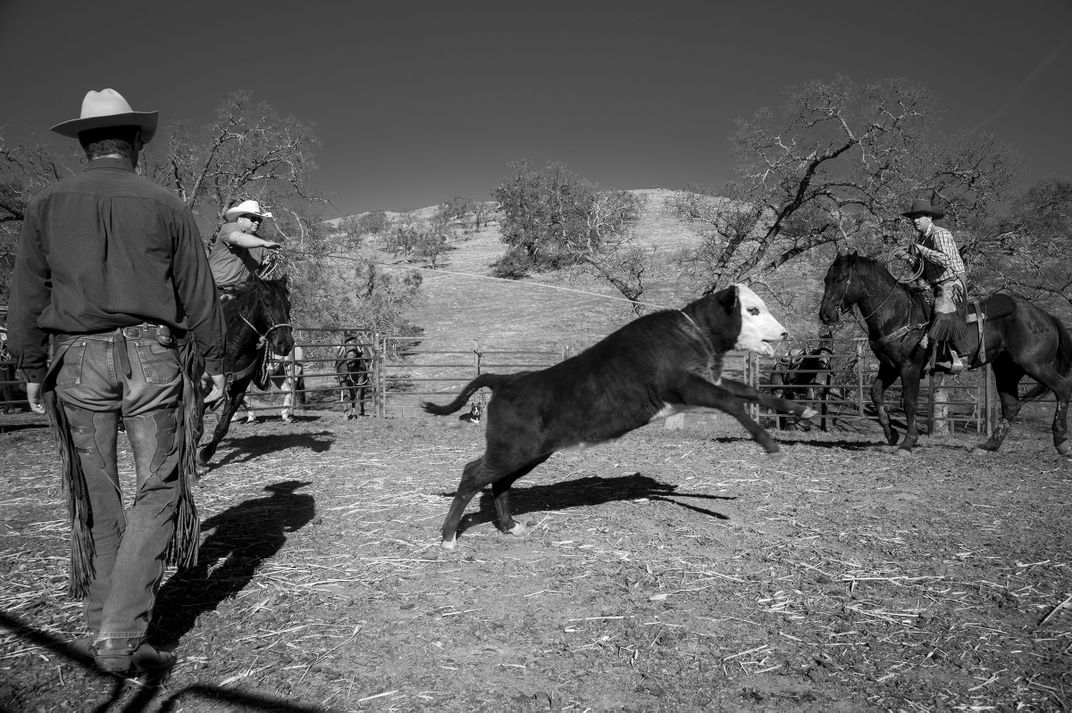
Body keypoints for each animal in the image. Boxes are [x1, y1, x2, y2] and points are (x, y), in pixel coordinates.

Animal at [422, 284, 816, 550]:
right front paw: (770, 445)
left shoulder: (707, 381)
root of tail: (506, 379)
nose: (784, 333)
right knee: (473, 475)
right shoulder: (687, 387)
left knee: (499, 483)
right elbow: (732, 403)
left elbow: (751, 393)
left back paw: (510, 527)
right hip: (511, 449)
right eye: (751, 310)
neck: (693, 333)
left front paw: (802, 409)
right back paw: (448, 538)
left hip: (529, 453)